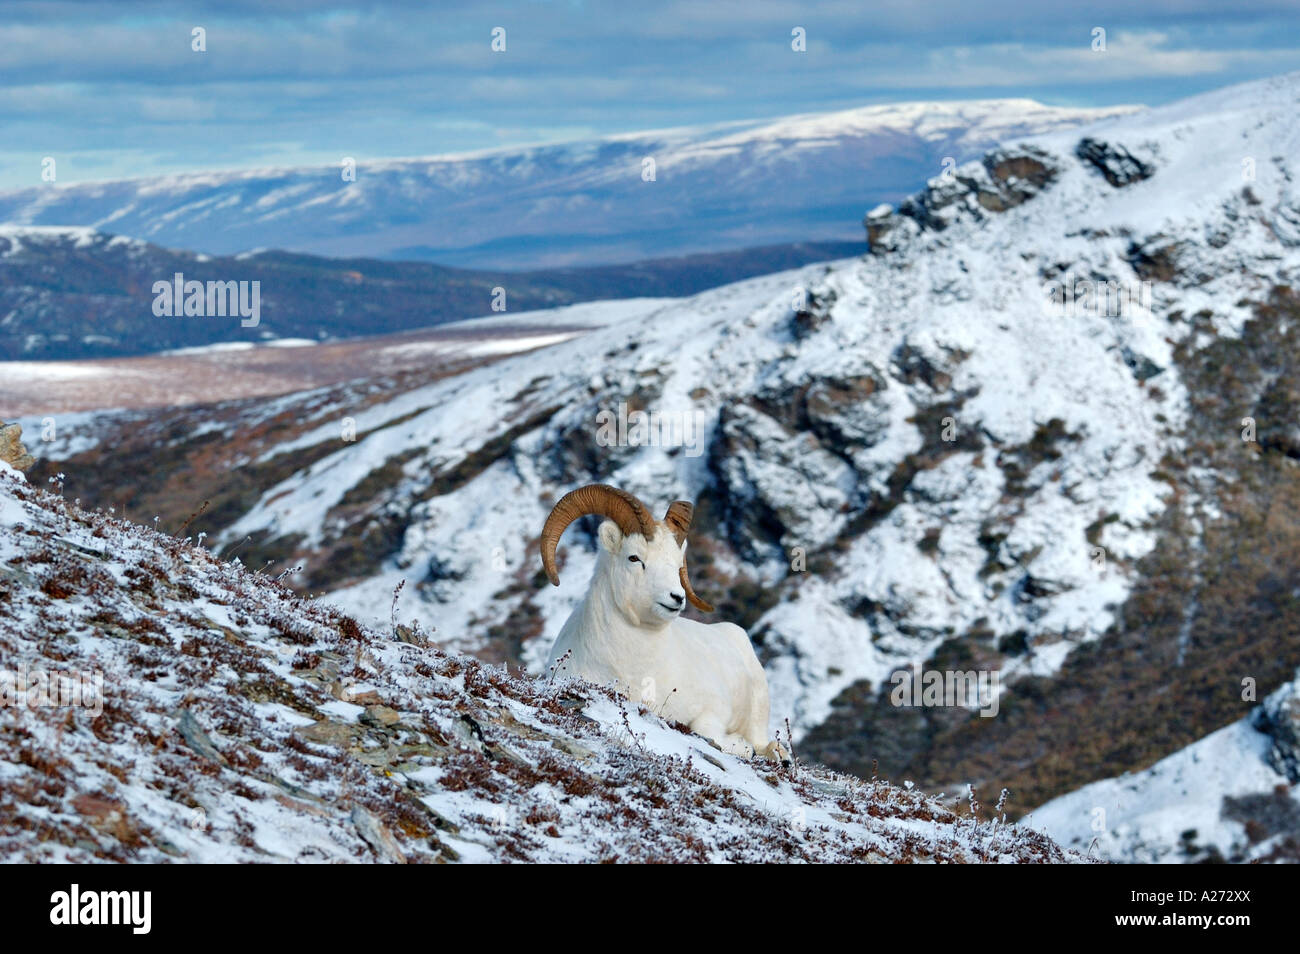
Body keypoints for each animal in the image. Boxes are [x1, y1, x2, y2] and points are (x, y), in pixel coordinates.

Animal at [540, 483, 786, 760]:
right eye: (634, 558)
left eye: (678, 565)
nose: (677, 597)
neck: (637, 673)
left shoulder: (714, 708)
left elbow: (706, 729)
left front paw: (742, 746)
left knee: (761, 741)